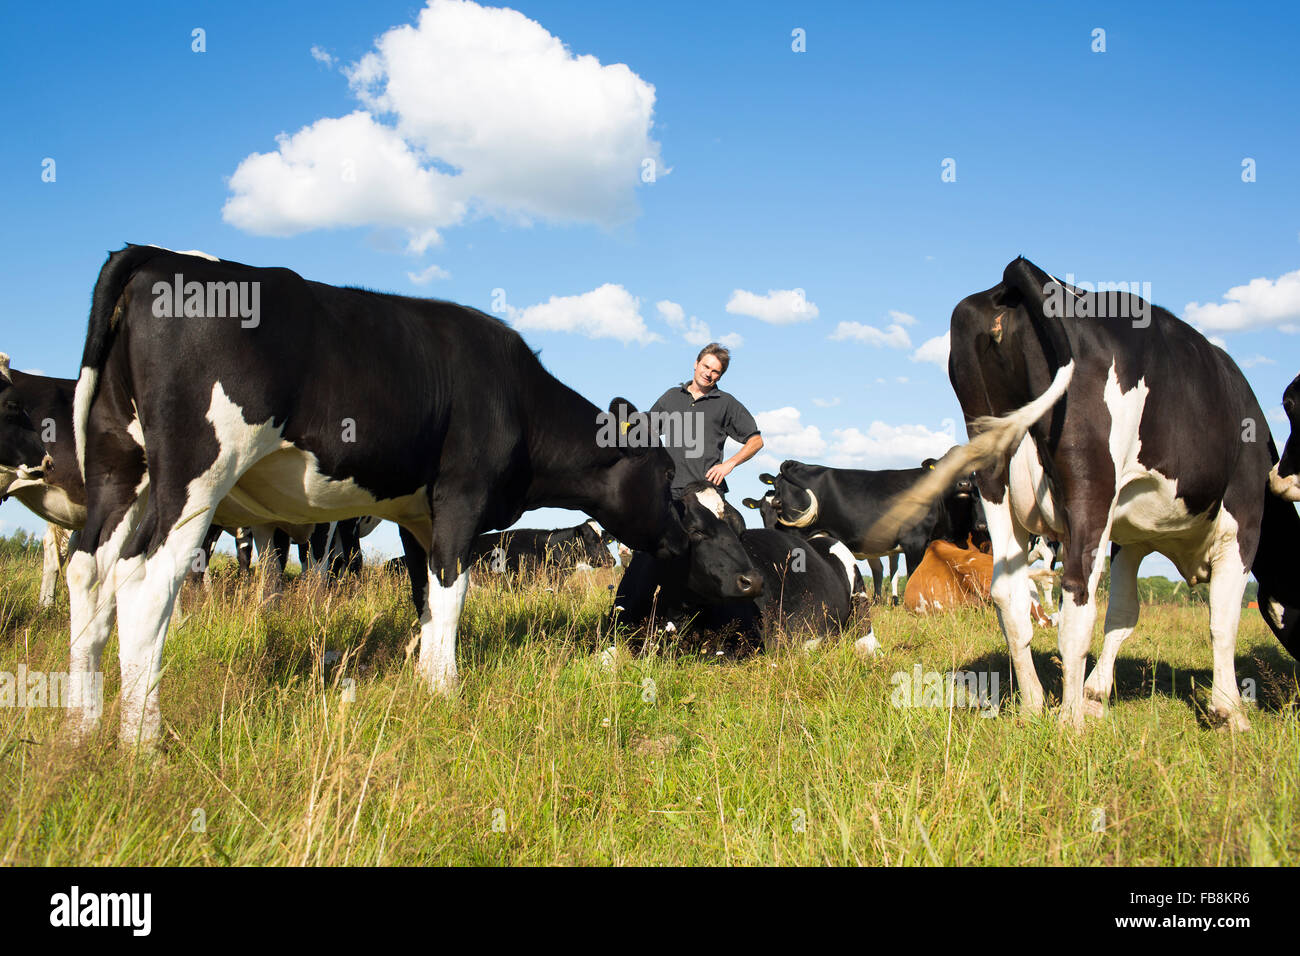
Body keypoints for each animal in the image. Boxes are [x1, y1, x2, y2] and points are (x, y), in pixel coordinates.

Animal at [67, 245, 689, 746]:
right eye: (665, 476)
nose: (683, 537)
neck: (517, 398)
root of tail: (155, 255)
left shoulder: (416, 514)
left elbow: (425, 595)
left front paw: (427, 683)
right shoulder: (462, 494)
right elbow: (452, 588)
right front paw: (449, 691)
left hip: (118, 463)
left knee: (88, 568)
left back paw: (81, 726)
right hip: (197, 471)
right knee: (144, 580)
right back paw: (140, 743)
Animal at [863, 257, 1300, 730]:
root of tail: (1018, 275)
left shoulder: (1132, 538)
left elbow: (1123, 615)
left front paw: (1095, 693)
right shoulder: (1244, 518)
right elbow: (1223, 618)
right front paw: (1229, 711)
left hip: (995, 479)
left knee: (1009, 593)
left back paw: (1035, 706)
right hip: (1091, 486)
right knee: (1076, 594)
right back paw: (1069, 722)